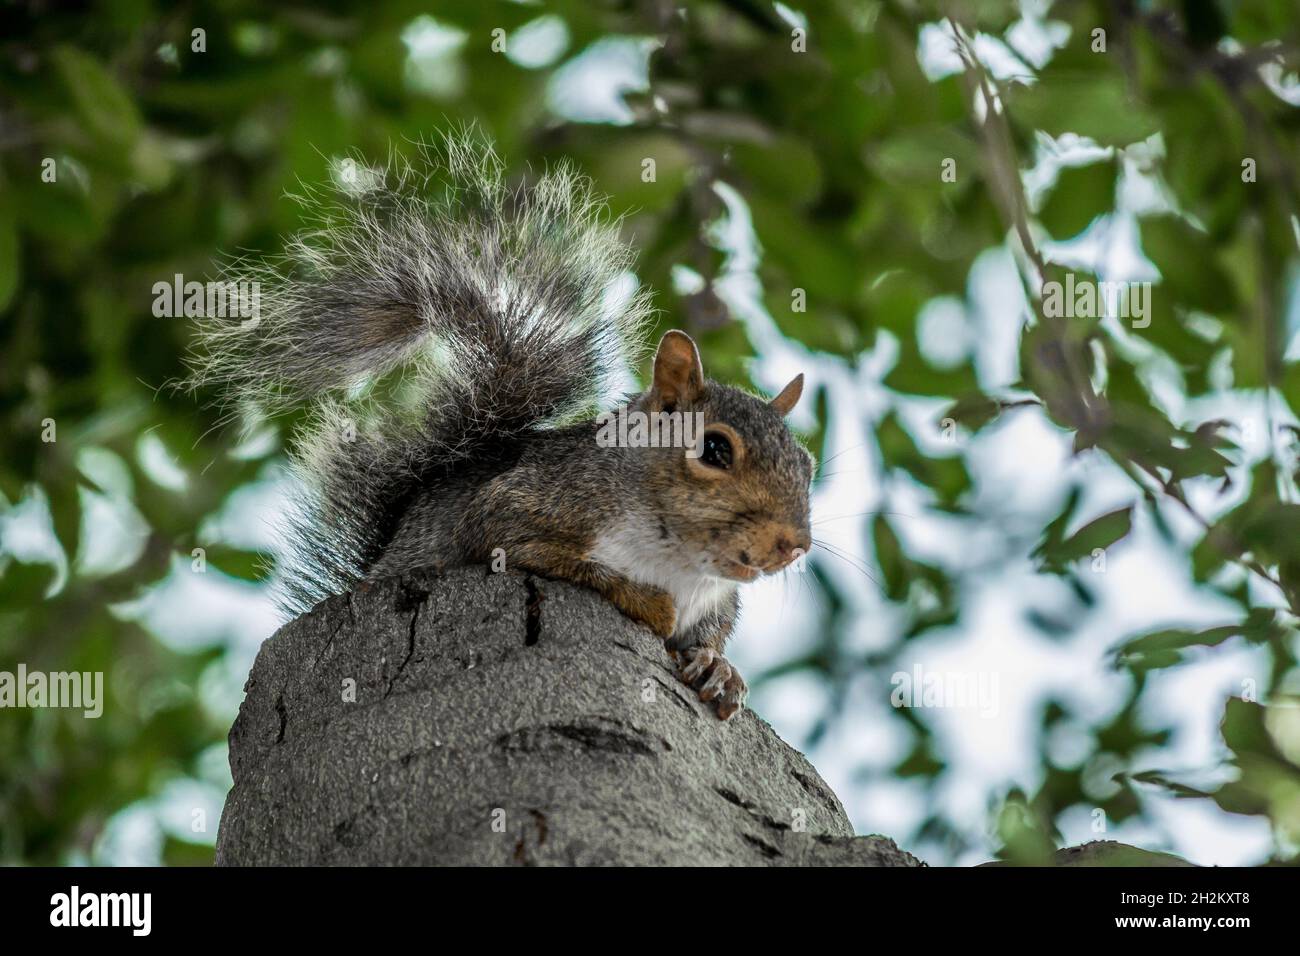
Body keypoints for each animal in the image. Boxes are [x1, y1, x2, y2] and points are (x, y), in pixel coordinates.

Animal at [187, 138, 813, 720]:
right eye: (714, 449)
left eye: (808, 466)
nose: (794, 546)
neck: (682, 561)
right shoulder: (520, 509)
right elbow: (550, 557)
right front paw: (649, 603)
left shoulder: (715, 600)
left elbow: (713, 632)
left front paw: (718, 668)